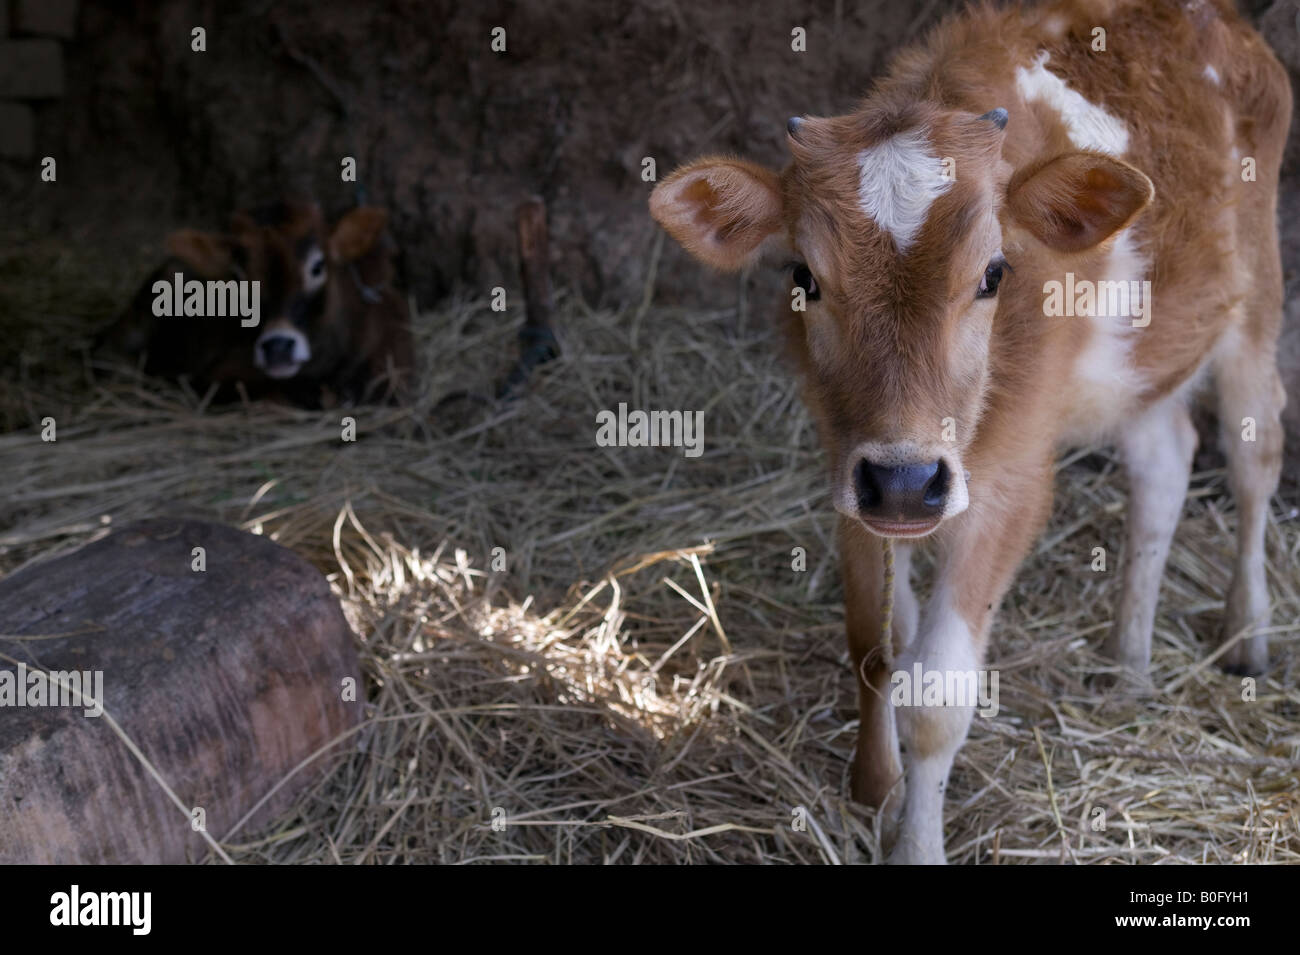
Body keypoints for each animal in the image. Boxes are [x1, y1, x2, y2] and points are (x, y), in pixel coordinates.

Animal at [649, 0, 1290, 863]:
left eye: (992, 274)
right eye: (804, 276)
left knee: (1256, 455)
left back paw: (1247, 629)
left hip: (1257, 296)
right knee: (1165, 462)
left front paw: (915, 840)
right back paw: (1129, 657)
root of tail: (1217, 20)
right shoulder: (850, 468)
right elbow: (875, 643)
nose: (907, 479)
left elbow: (936, 690)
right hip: (1144, 358)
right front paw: (875, 788)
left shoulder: (1009, 480)